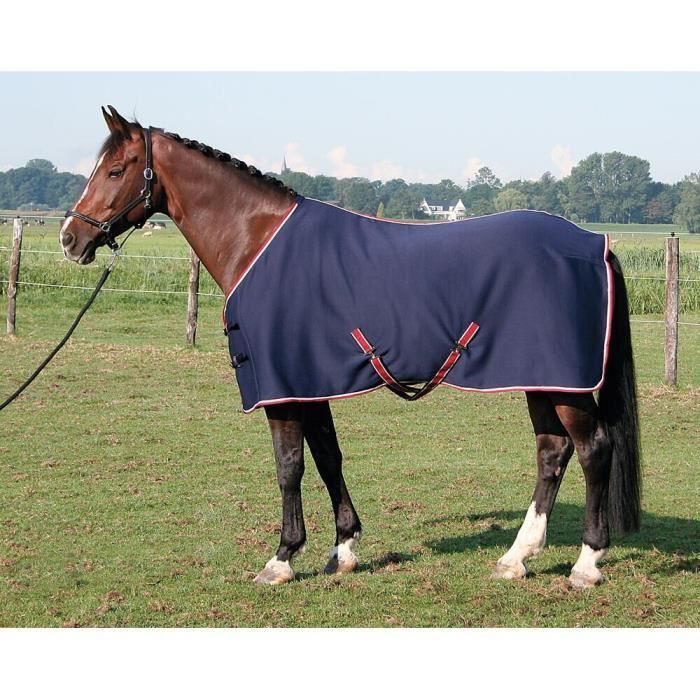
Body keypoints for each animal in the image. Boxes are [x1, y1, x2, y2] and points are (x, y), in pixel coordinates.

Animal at [59, 106, 641, 588]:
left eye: (116, 171)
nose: (69, 238)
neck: (258, 240)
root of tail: (595, 244)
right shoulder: (309, 382)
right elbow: (327, 458)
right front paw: (343, 550)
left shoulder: (282, 389)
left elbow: (289, 465)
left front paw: (281, 558)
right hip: (540, 377)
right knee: (552, 452)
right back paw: (516, 558)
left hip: (563, 383)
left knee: (592, 451)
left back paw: (587, 563)